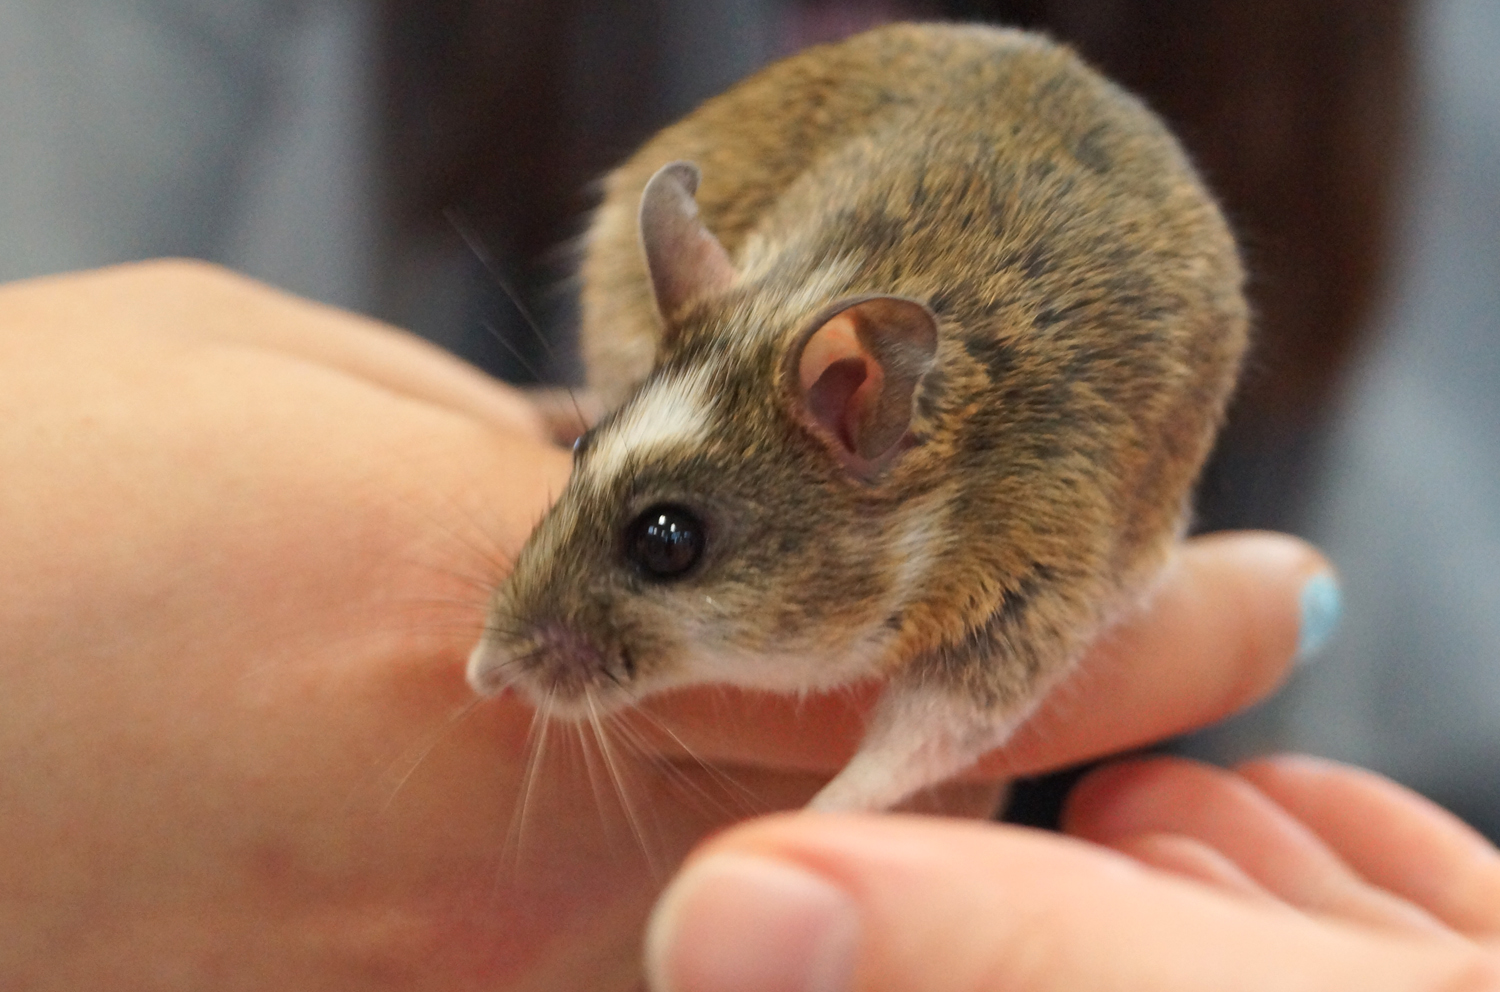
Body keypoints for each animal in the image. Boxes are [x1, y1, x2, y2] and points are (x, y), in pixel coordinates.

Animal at [467, 22, 1247, 812]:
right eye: (581, 450)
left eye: (667, 541)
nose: (484, 674)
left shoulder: (1029, 604)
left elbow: (921, 739)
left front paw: (816, 814)